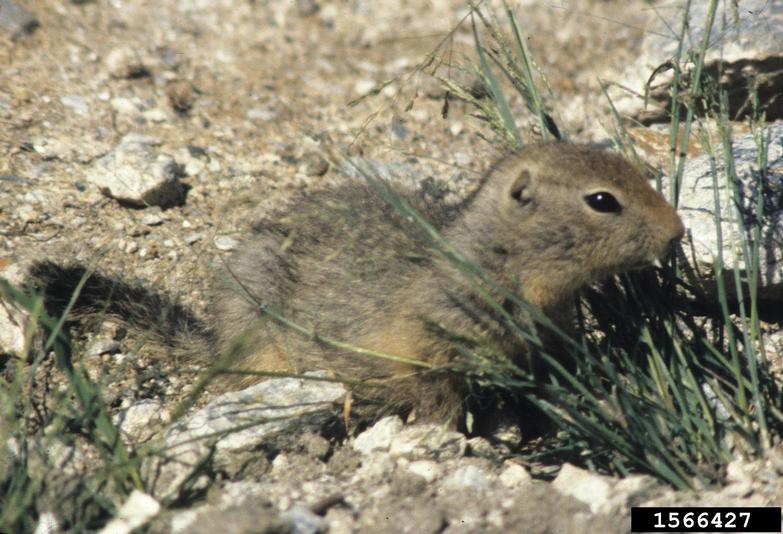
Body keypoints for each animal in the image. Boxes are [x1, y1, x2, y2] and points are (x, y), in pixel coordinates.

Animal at [28, 142, 685, 422]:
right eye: (602, 201)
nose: (677, 232)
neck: (493, 260)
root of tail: (214, 337)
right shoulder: (425, 345)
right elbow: (437, 395)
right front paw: (448, 435)